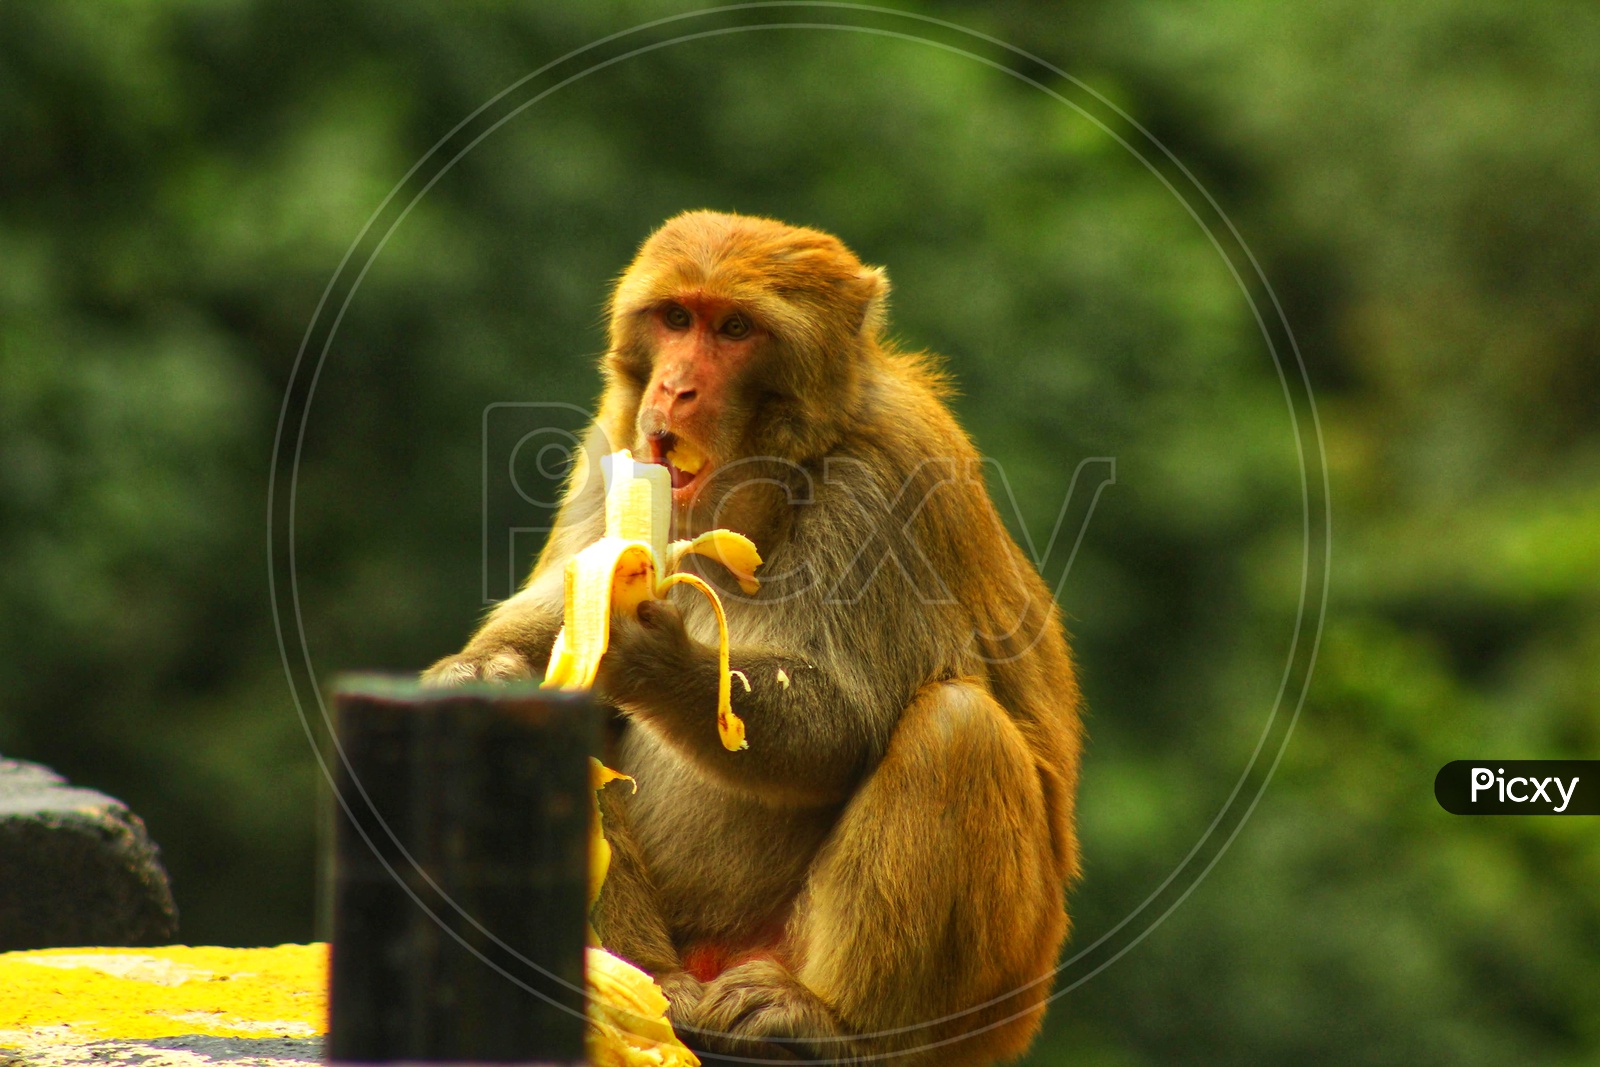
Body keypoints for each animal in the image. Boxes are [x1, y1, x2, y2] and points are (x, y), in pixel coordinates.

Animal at [426, 211, 1082, 1065]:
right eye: (677, 319)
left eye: (734, 329)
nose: (675, 387)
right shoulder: (612, 444)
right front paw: (483, 668)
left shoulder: (886, 485)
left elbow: (845, 724)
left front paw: (656, 659)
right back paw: (649, 994)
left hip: (979, 993)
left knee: (956, 727)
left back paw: (827, 1023)